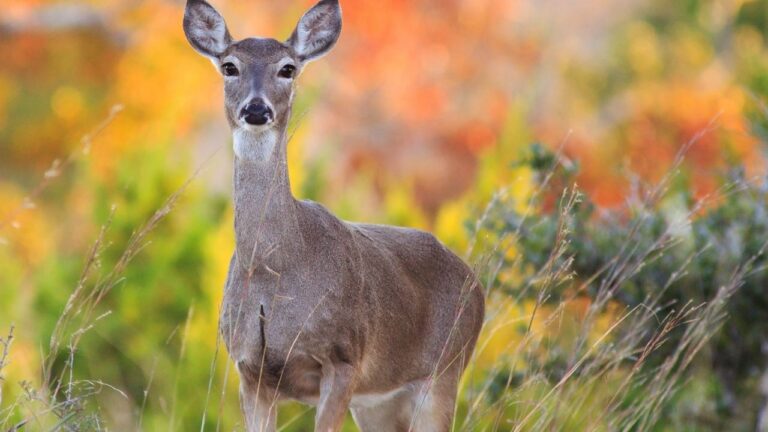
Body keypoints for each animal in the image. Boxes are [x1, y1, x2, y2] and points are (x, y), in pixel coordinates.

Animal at [182, 0, 485, 430]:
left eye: (287, 68)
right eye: (229, 66)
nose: (256, 109)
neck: (277, 268)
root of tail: (476, 284)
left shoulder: (345, 357)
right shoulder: (249, 370)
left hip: (445, 372)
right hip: (379, 402)